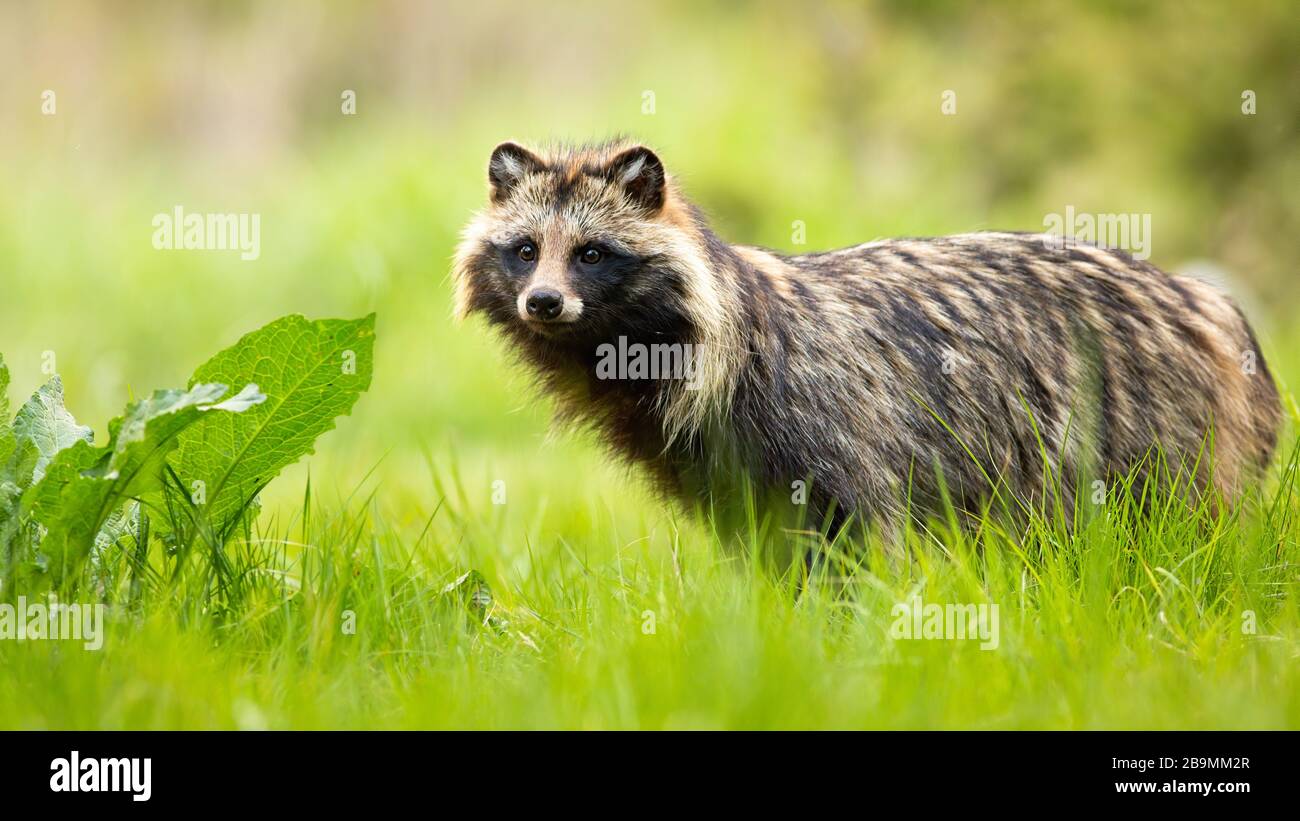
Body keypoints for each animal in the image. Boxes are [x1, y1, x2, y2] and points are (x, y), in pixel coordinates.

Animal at [452, 139, 1284, 538]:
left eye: (592, 253)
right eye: (525, 248)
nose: (543, 301)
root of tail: (1204, 298)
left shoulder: (830, 427)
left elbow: (863, 536)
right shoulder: (716, 467)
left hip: (1150, 427)